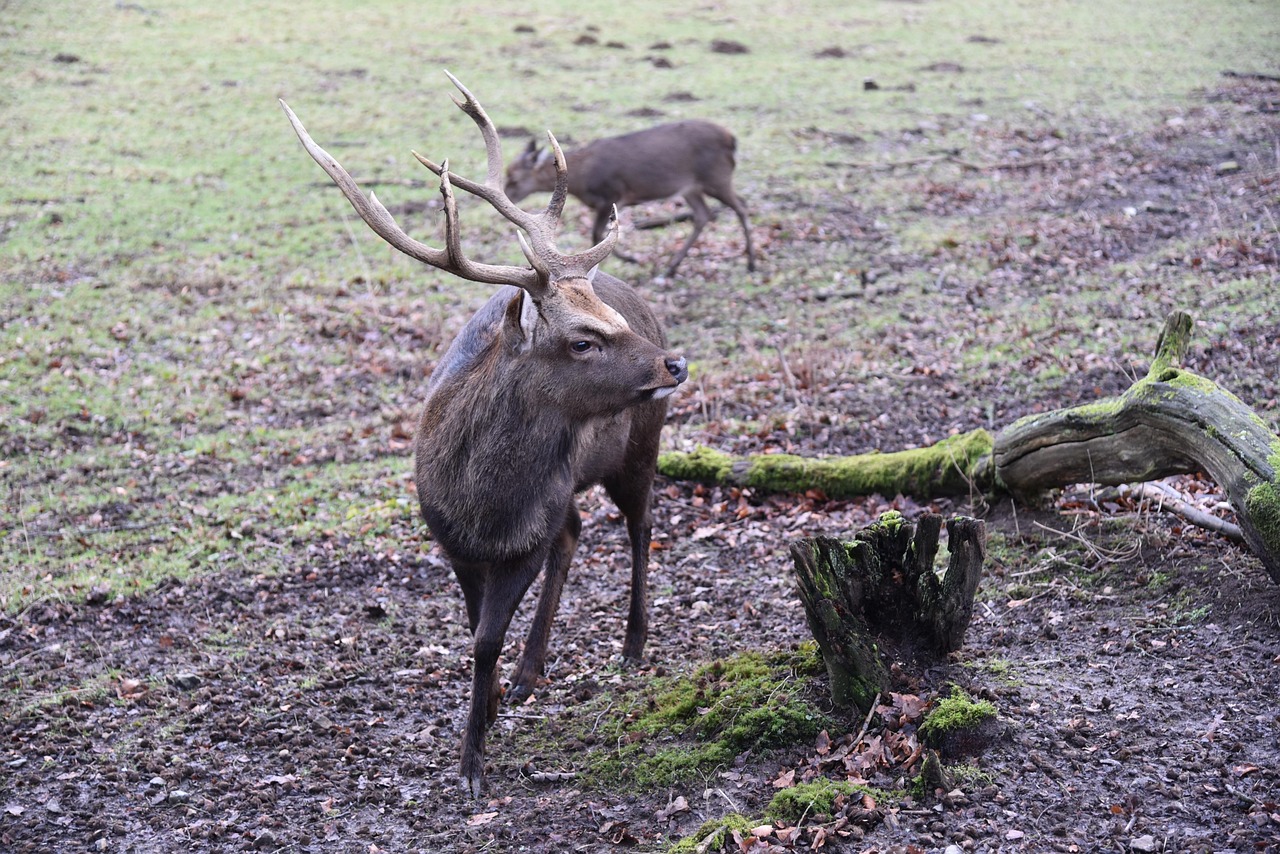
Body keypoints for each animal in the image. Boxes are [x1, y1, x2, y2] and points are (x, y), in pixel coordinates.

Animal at [280, 72, 688, 797]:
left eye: (607, 322)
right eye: (583, 339)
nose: (675, 363)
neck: (483, 504)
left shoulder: (523, 538)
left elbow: (485, 639)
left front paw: (472, 763)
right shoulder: (451, 542)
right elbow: (475, 631)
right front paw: (491, 706)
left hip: (641, 443)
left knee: (640, 524)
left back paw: (632, 647)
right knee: (577, 530)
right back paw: (529, 674)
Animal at [503, 120, 756, 277]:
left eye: (514, 179)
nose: (507, 195)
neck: (582, 180)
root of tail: (732, 139)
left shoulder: (610, 195)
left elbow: (598, 235)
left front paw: (631, 259)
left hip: (716, 176)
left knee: (741, 206)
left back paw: (751, 263)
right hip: (690, 187)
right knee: (704, 214)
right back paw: (671, 268)